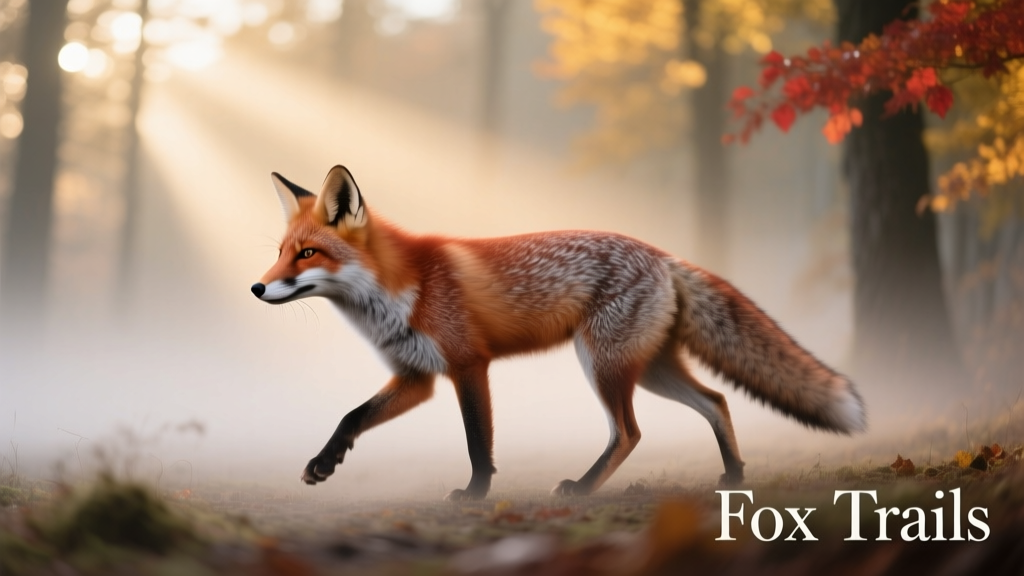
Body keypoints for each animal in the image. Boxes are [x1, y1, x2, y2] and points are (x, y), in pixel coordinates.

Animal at [251, 165, 866, 500]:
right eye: (281, 252)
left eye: (308, 255)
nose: (257, 288)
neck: (401, 291)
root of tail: (663, 254)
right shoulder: (416, 377)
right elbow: (351, 417)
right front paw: (324, 464)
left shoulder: (468, 364)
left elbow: (478, 442)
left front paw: (475, 495)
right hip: (652, 369)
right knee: (716, 401)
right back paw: (735, 476)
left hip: (603, 364)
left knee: (630, 432)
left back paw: (584, 487)